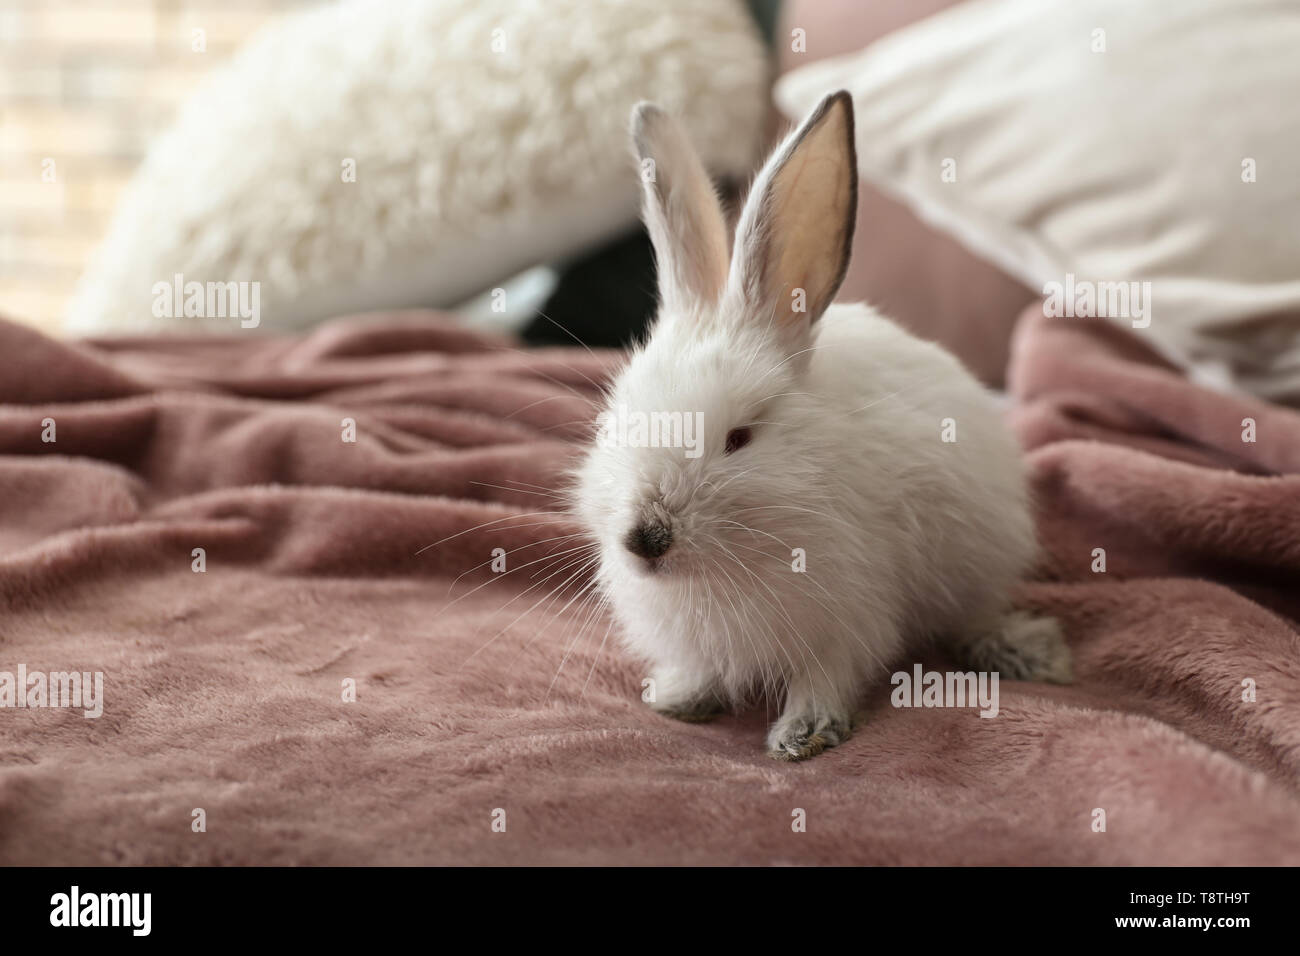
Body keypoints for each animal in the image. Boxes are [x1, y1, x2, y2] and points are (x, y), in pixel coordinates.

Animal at [573, 90, 1072, 761]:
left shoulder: (850, 621)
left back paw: (1031, 653)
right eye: (615, 423)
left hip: (979, 559)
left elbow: (827, 678)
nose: (644, 539)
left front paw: (803, 736)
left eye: (739, 439)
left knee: (975, 615)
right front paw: (678, 700)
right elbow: (703, 670)